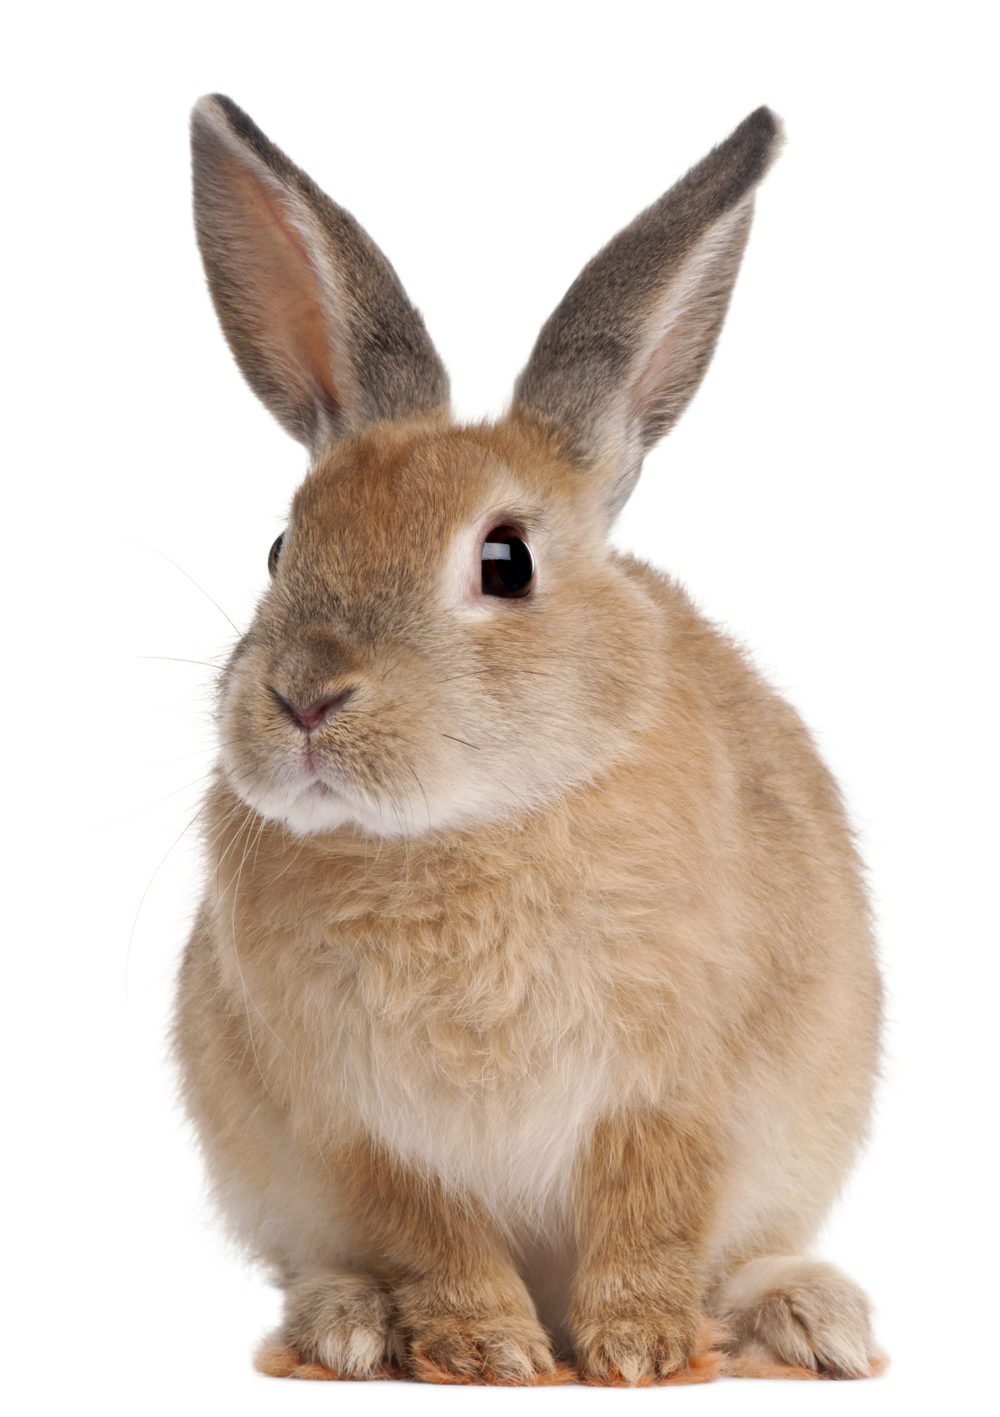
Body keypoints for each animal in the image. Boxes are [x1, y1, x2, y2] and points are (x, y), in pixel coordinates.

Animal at [173, 94, 884, 1386]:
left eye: (504, 561)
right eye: (282, 548)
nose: (304, 698)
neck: (460, 830)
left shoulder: (677, 1093)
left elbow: (651, 1214)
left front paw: (640, 1351)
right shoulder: (364, 1127)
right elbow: (433, 1235)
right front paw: (489, 1351)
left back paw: (811, 1322)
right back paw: (343, 1327)